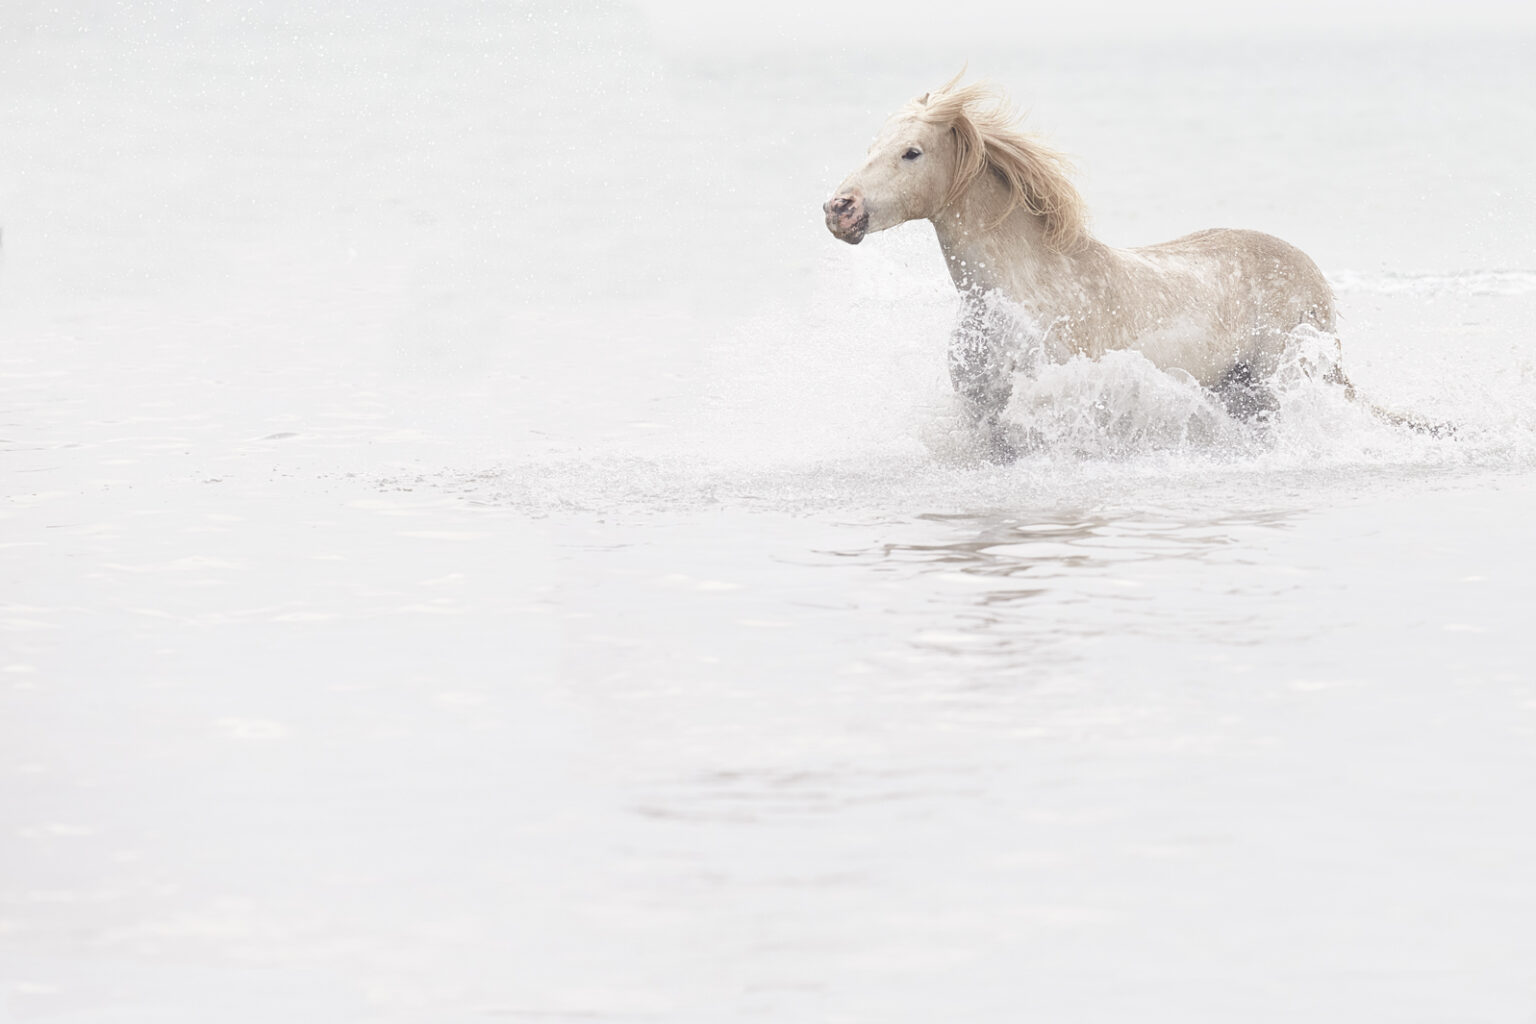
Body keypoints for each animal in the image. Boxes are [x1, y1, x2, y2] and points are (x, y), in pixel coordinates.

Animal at [822, 75, 1369, 456]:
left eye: (911, 153)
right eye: (871, 147)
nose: (839, 209)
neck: (1023, 293)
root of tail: (1311, 273)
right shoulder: (982, 416)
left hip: (1273, 387)